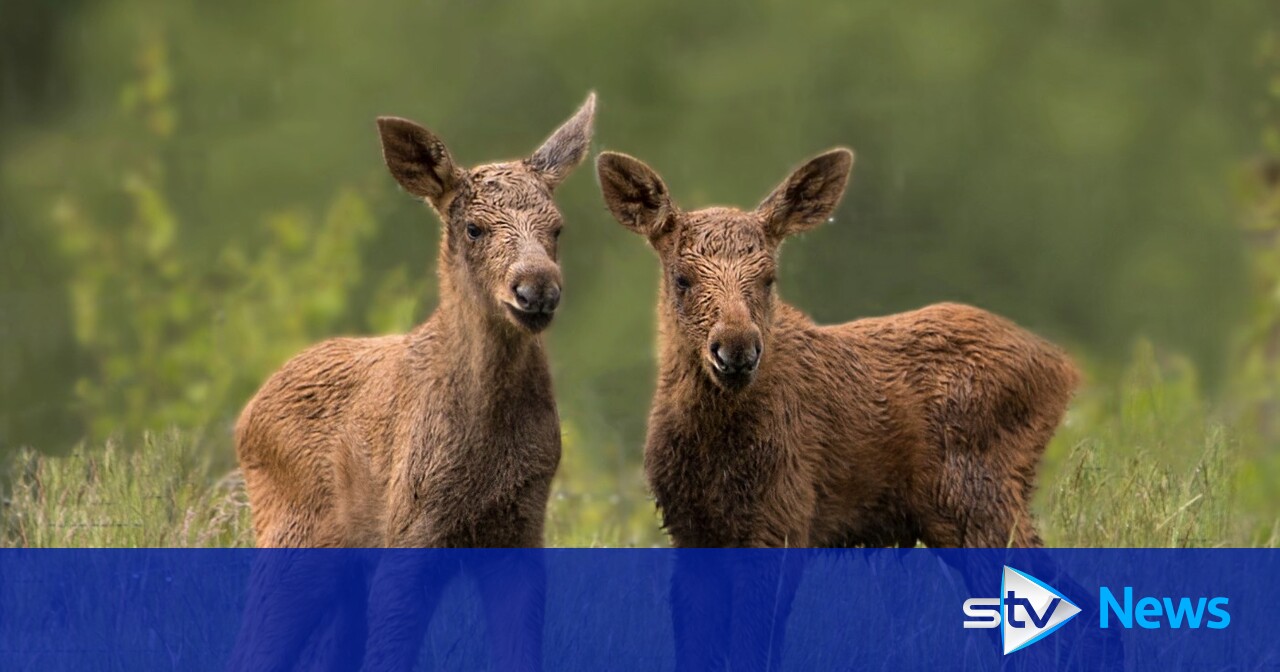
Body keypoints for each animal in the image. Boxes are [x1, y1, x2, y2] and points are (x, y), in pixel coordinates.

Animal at [228, 93, 595, 672]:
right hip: (295, 540)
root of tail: (245, 418)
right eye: (473, 228)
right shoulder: (412, 528)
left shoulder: (520, 530)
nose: (537, 289)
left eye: (557, 227)